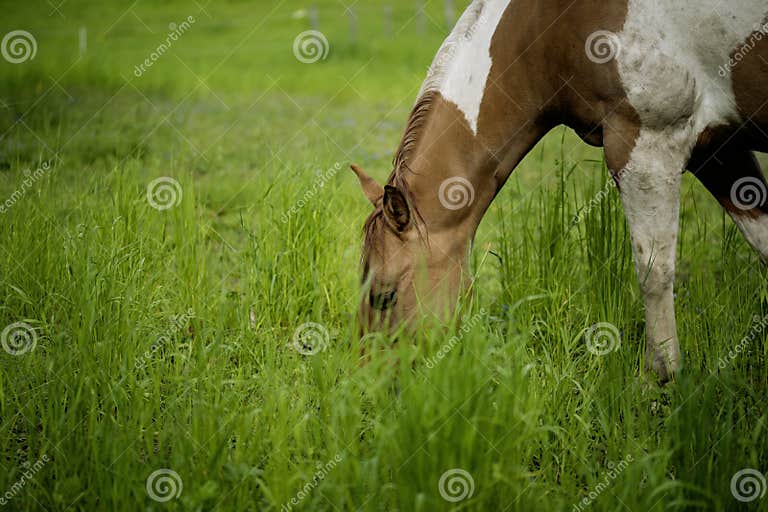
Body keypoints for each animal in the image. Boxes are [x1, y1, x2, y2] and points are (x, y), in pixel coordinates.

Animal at [351, 0, 768, 382]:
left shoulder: (647, 148)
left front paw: (659, 378)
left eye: (384, 296)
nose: (367, 383)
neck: (545, 24)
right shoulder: (718, 150)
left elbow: (654, 271)